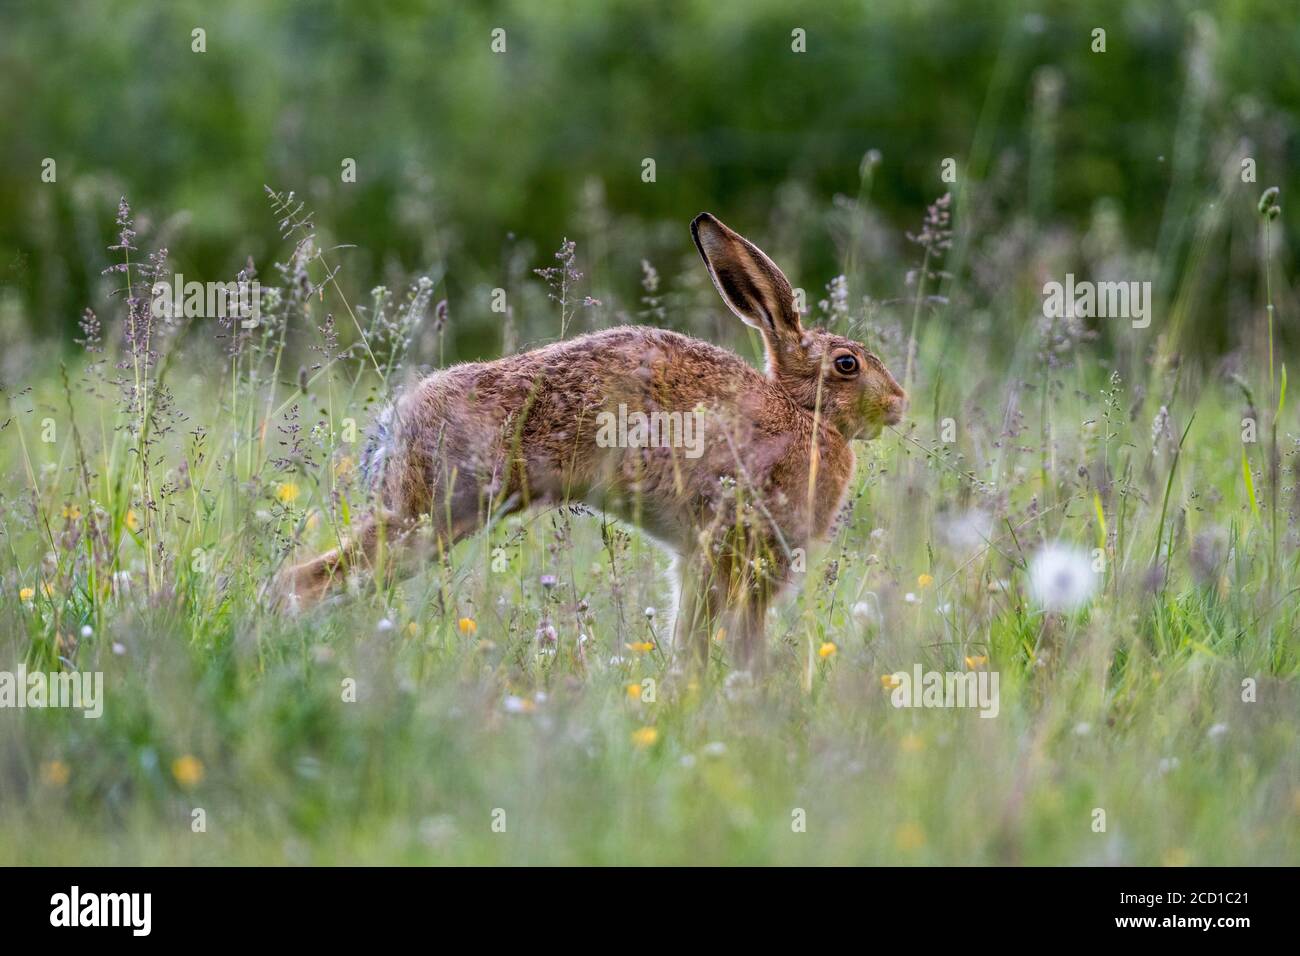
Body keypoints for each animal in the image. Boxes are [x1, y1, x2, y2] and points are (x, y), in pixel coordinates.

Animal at [274, 212, 907, 669]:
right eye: (847, 364)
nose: (899, 403)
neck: (805, 414)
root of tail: (396, 421)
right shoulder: (741, 551)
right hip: (433, 512)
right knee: (312, 580)